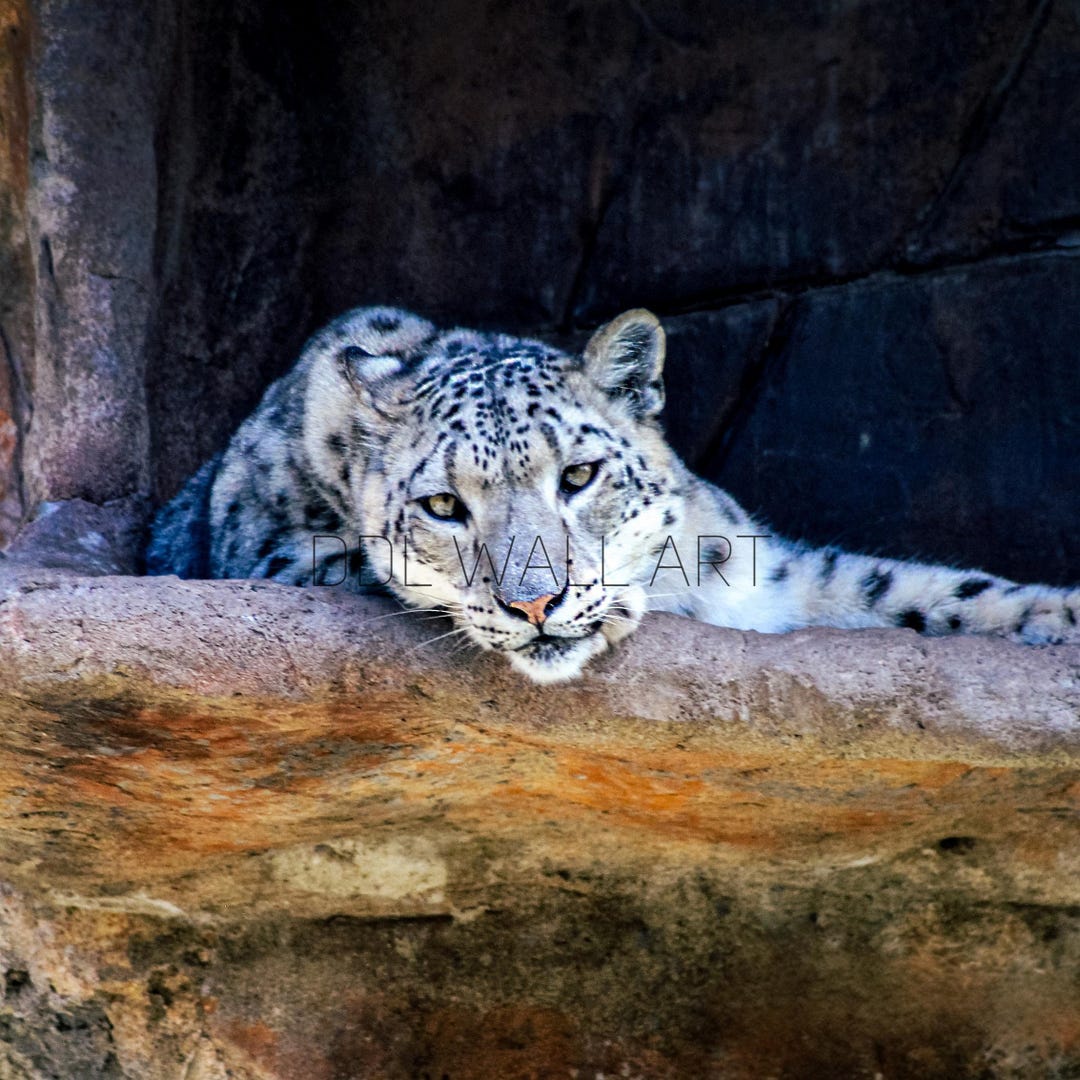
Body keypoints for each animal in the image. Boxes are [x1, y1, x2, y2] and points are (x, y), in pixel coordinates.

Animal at [146, 305, 1080, 683]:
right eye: (444, 506)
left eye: (579, 475)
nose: (535, 604)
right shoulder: (283, 556)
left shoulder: (773, 576)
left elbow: (912, 588)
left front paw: (1056, 615)